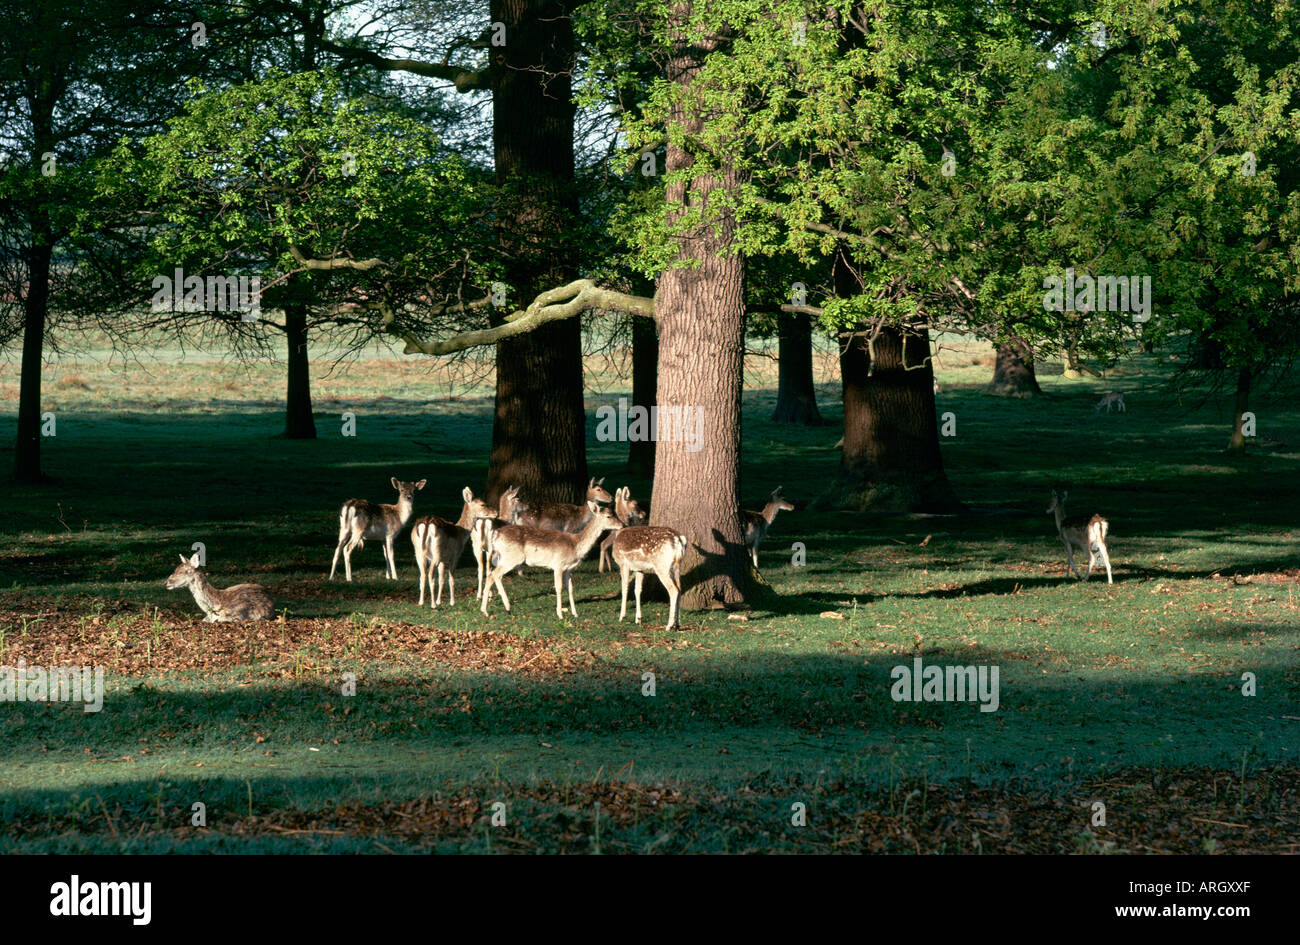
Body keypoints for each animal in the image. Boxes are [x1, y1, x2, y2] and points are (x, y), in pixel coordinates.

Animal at [480, 502, 624, 619]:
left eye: (615, 513)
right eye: (609, 516)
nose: (622, 525)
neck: (575, 546)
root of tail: (496, 535)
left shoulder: (568, 569)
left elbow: (570, 588)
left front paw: (575, 613)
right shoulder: (558, 565)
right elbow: (558, 588)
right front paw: (560, 614)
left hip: (502, 557)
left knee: (492, 574)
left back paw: (489, 610)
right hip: (512, 558)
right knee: (494, 574)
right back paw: (501, 608)